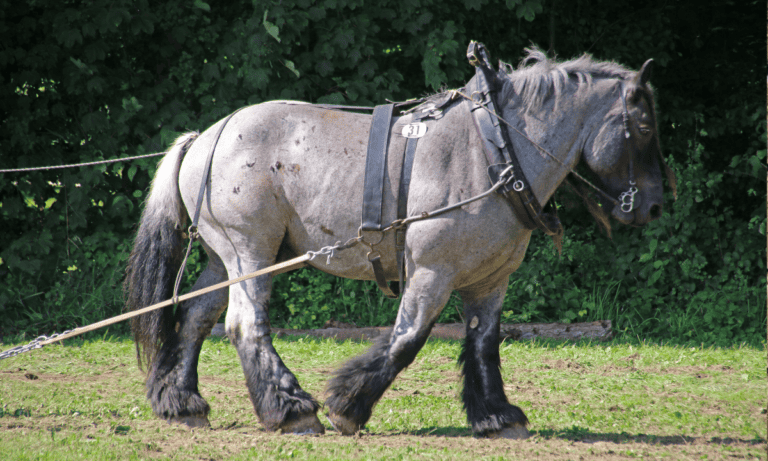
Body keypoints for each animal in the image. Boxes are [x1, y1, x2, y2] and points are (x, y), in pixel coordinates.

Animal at [124, 47, 665, 438]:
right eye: (643, 126)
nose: (655, 207)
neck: (493, 149)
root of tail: (206, 137)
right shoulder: (432, 271)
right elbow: (408, 337)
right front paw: (347, 407)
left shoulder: (490, 279)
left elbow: (484, 342)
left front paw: (497, 416)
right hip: (249, 250)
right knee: (244, 324)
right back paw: (291, 410)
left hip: (226, 258)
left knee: (196, 317)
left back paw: (182, 403)